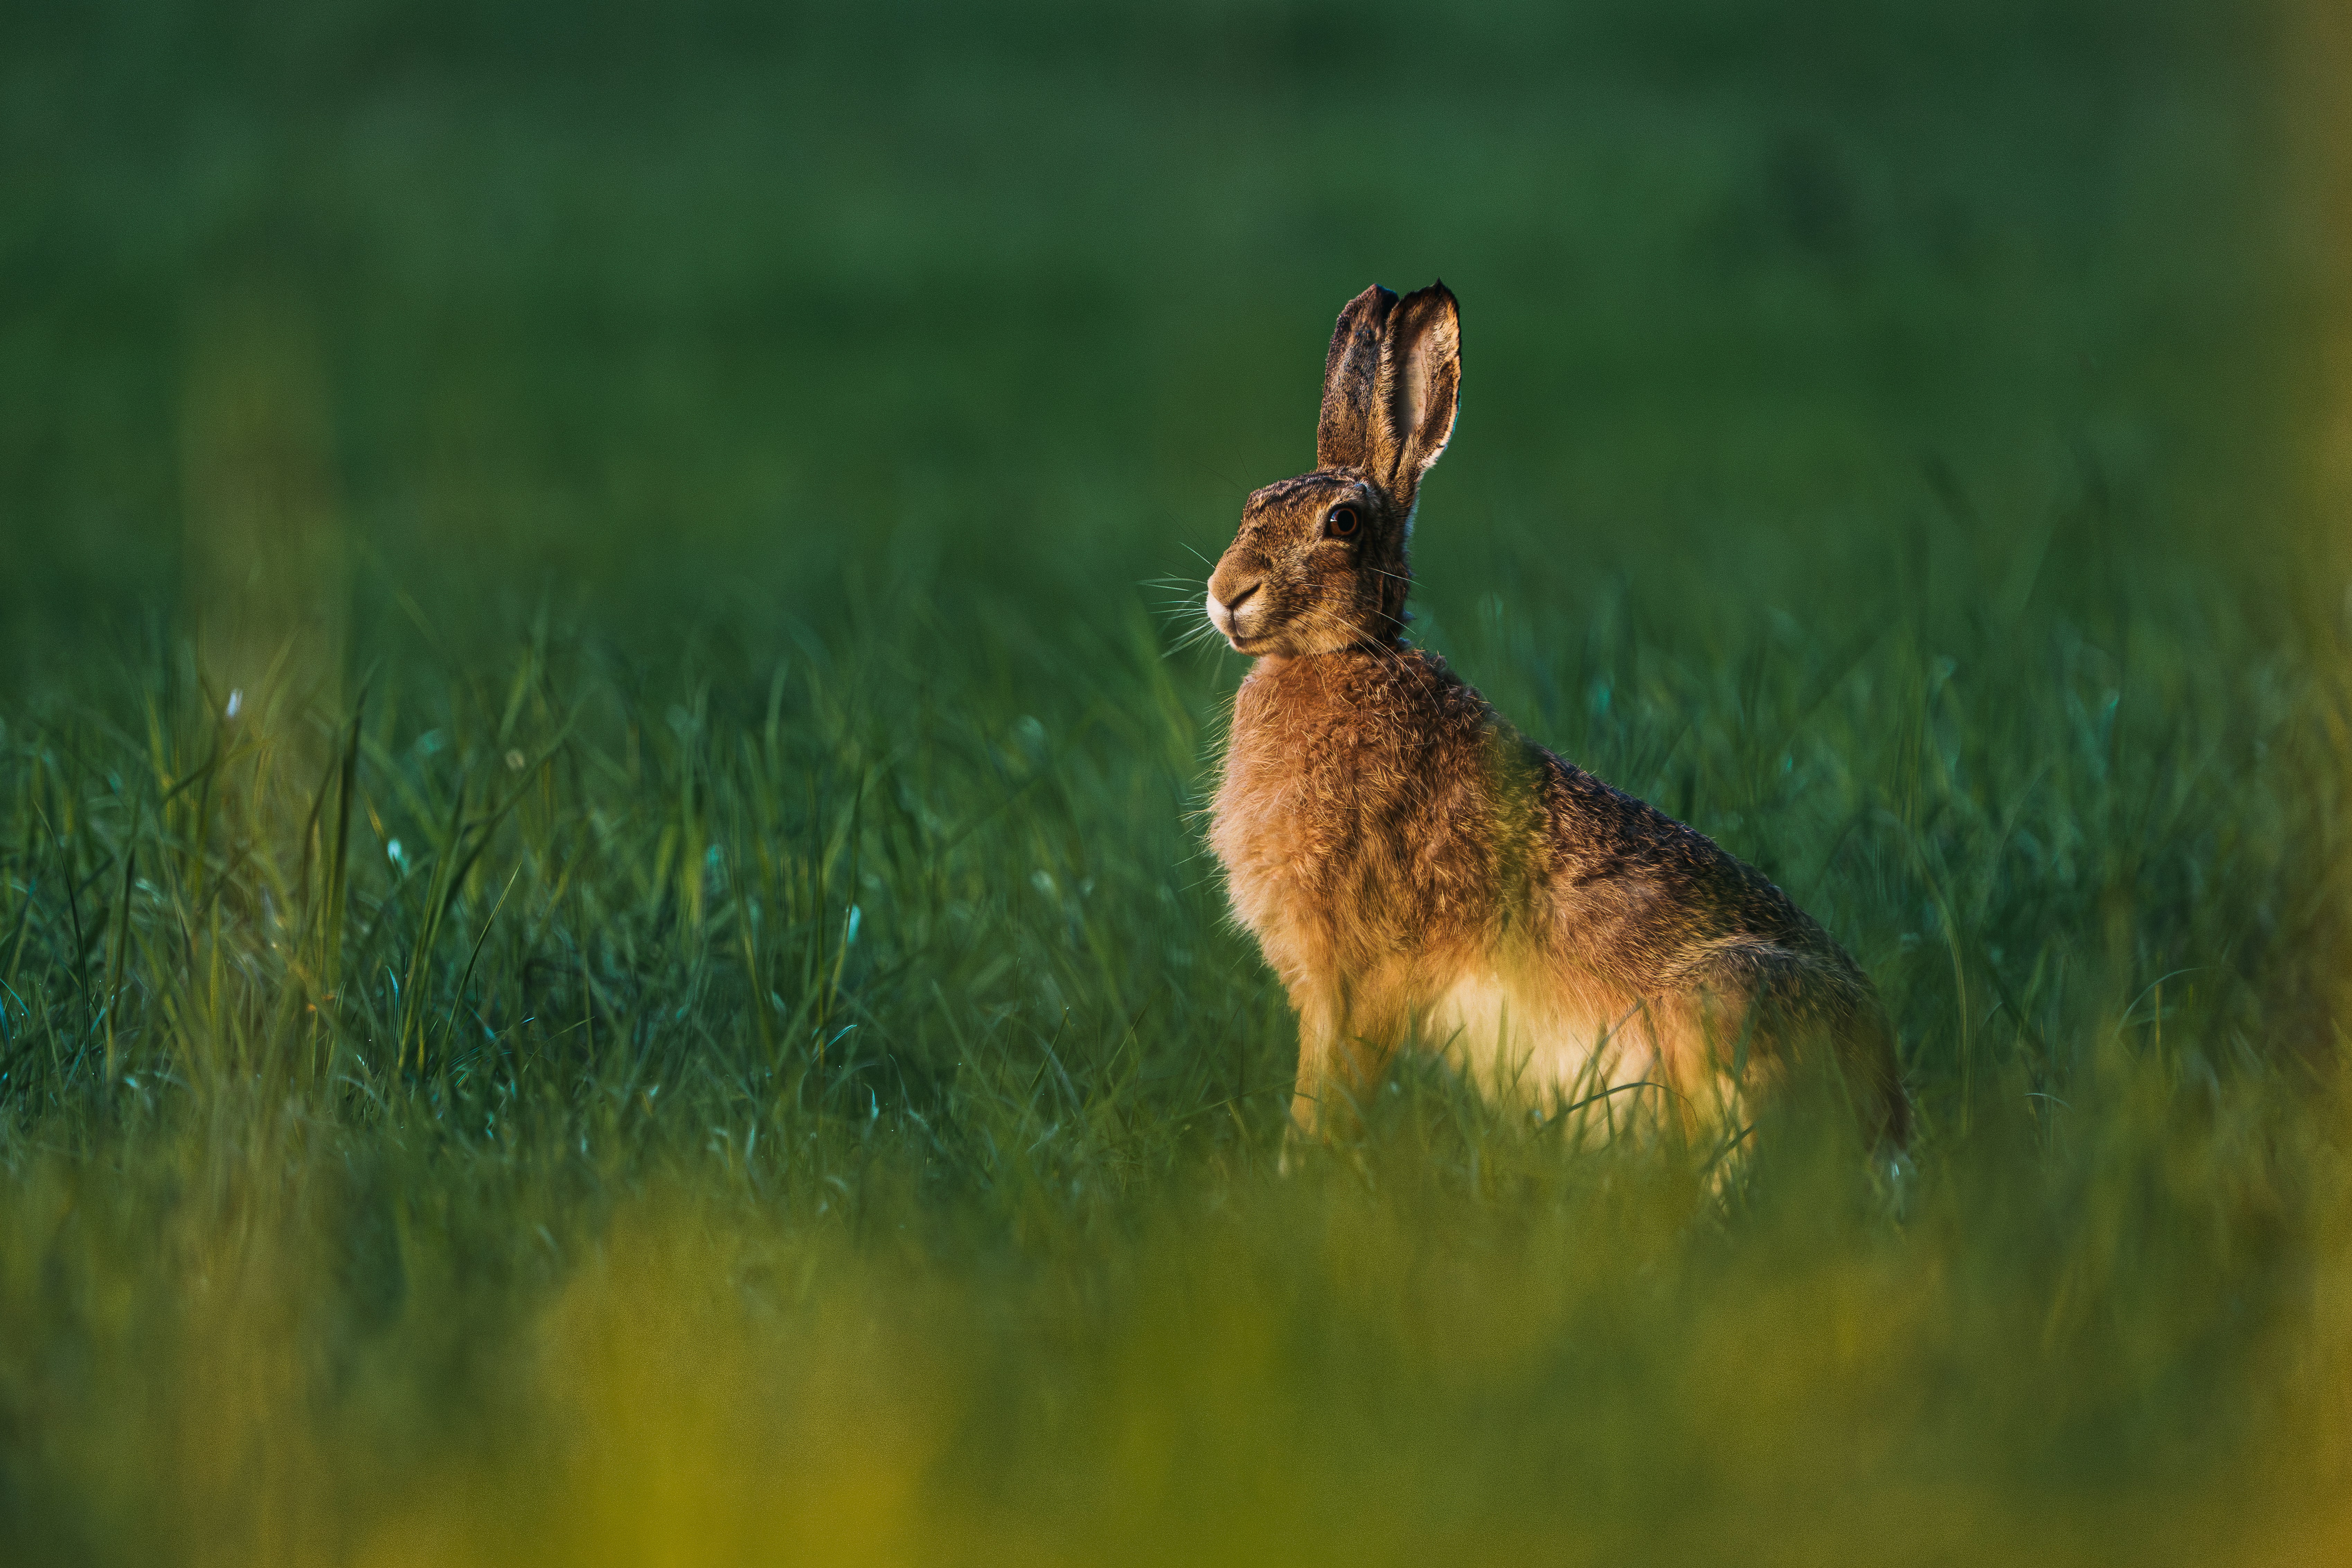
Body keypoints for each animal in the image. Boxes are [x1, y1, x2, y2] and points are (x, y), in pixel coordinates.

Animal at [1205, 281, 1909, 1151]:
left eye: (1341, 523)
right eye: (1250, 505)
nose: (1226, 593)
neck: (1347, 657)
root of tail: (1887, 1101)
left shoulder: (1358, 975)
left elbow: (1328, 1096)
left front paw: (1303, 1167)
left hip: (1719, 1002)